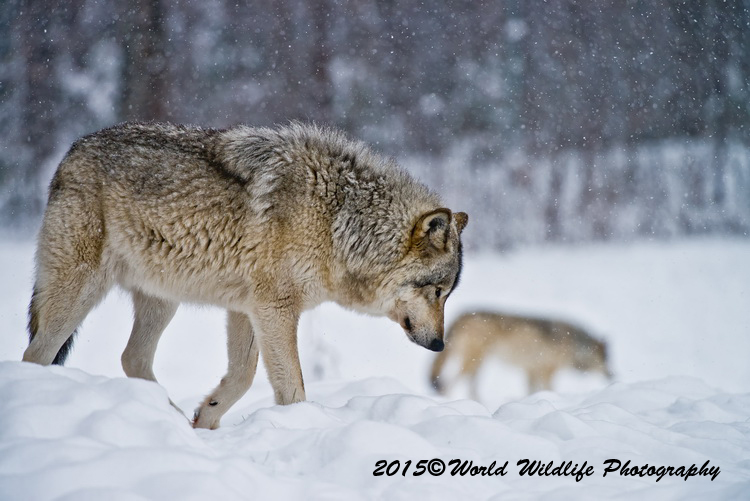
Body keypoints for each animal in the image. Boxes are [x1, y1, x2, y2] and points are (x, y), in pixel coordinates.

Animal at [22, 121, 468, 429]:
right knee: (36, 355)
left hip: (162, 300)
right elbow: (291, 387)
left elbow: (242, 376)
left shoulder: (246, 310)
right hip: (82, 291)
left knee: (132, 358)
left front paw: (206, 420)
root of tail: (69, 152)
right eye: (437, 291)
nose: (439, 344)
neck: (337, 222)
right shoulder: (275, 309)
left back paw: (171, 419)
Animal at [430, 311, 612, 399]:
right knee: (450, 383)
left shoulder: (531, 370)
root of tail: (463, 315)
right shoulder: (548, 371)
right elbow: (550, 390)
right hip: (473, 362)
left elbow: (532, 392)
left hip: (478, 363)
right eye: (605, 359)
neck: (574, 344)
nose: (613, 374)